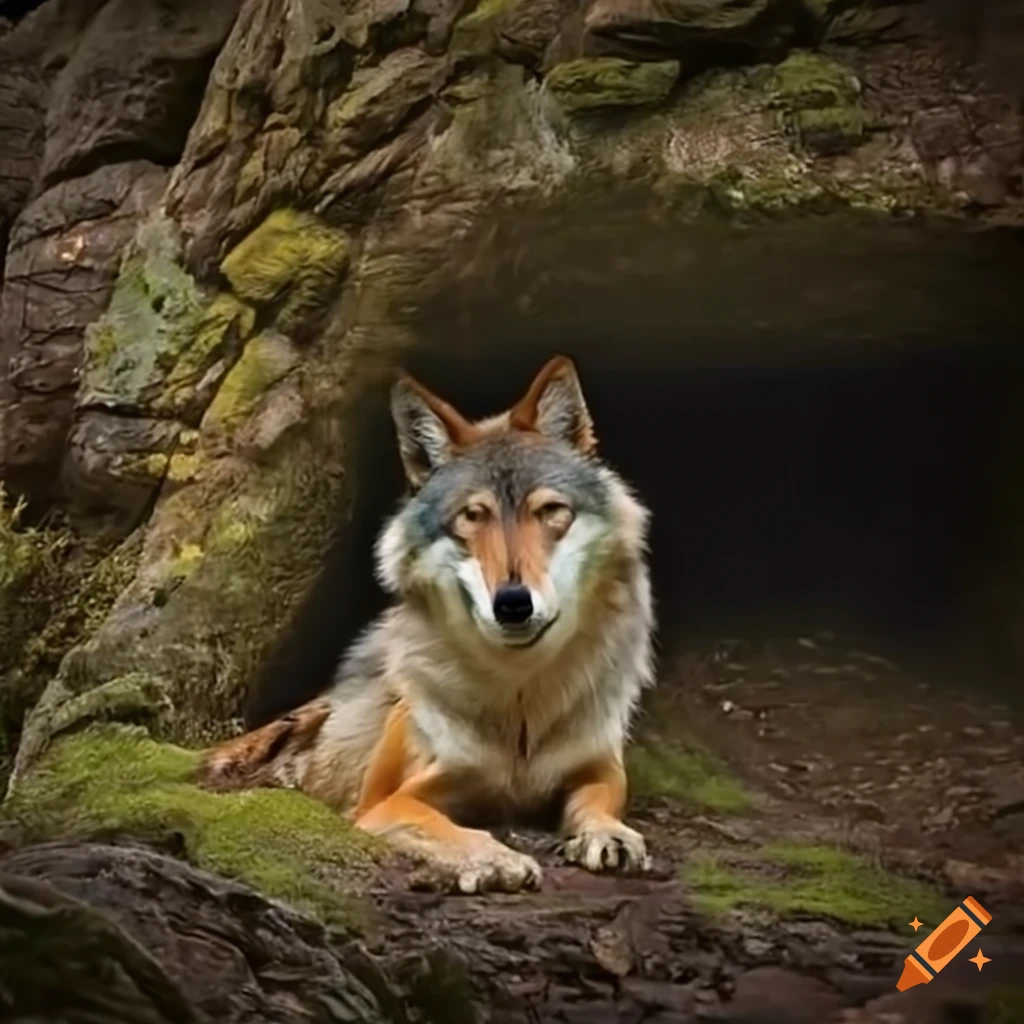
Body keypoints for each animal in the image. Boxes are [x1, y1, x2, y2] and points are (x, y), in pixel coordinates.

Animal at [201, 356, 656, 894]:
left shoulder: (597, 764)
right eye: (472, 516)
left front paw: (610, 834)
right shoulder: (385, 803)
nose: (513, 604)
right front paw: (493, 858)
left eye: (549, 511)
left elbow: (600, 800)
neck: (520, 705)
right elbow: (442, 823)